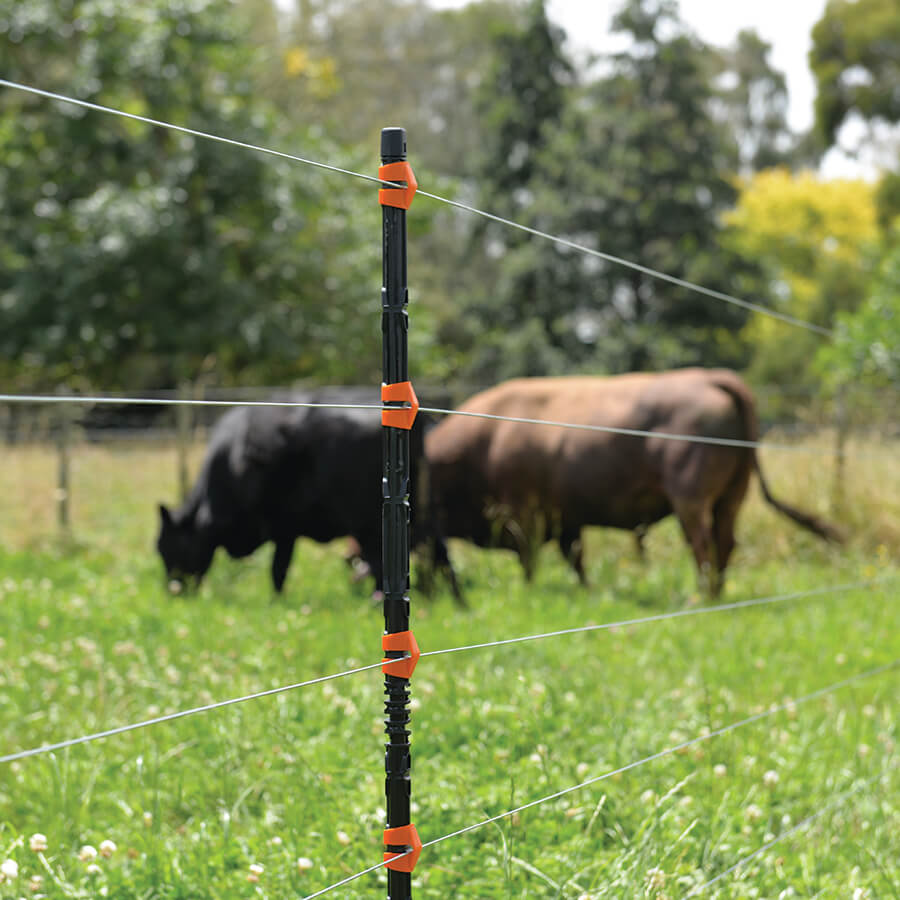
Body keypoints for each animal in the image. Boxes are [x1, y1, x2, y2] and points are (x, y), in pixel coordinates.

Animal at [156, 389, 458, 599]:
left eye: (165, 547)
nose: (173, 592)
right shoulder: (286, 530)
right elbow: (279, 570)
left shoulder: (280, 526)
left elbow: (277, 571)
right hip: (423, 508)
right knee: (441, 552)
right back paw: (458, 603)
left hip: (368, 522)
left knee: (381, 565)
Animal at [425, 368, 844, 597]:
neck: (488, 438)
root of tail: (711, 377)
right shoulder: (567, 517)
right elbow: (575, 557)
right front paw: (586, 590)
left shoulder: (522, 510)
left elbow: (531, 558)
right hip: (732, 496)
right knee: (725, 542)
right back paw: (717, 591)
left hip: (690, 498)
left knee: (702, 543)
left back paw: (701, 595)